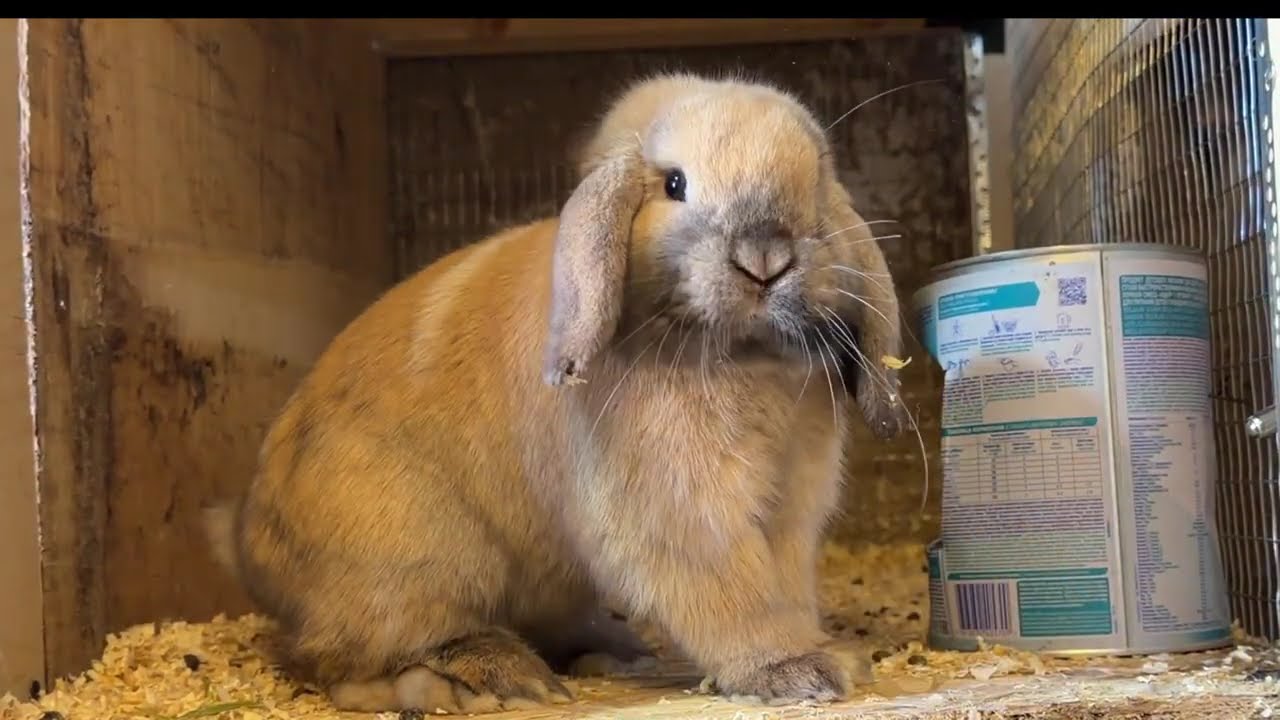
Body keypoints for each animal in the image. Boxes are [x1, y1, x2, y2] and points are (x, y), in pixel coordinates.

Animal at [203, 71, 907, 715]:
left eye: (815, 177)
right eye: (674, 184)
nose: (764, 259)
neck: (740, 351)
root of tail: (247, 543)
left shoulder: (790, 509)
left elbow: (785, 584)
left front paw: (833, 654)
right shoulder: (682, 513)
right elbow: (730, 594)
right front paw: (794, 670)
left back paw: (607, 652)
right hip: (410, 564)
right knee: (347, 663)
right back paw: (487, 679)